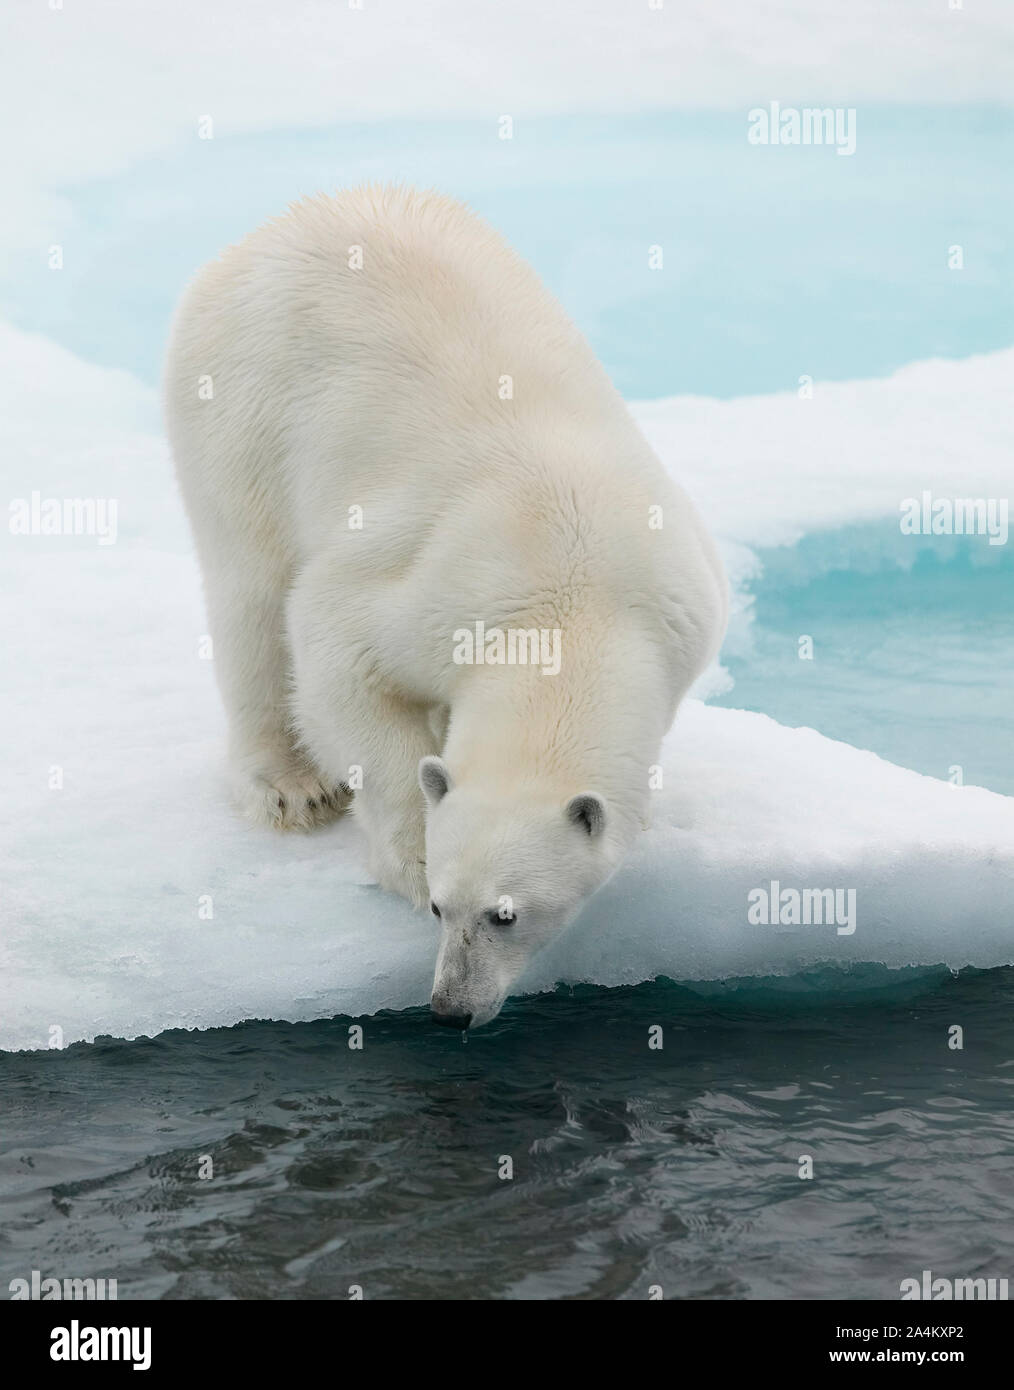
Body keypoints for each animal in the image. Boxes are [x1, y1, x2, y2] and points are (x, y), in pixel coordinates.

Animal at [164, 186, 727, 1029]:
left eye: (508, 914)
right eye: (439, 906)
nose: (451, 1007)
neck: (581, 600)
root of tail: (274, 226)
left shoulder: (684, 600)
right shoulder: (438, 588)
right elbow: (332, 643)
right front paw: (405, 848)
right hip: (240, 400)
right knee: (251, 588)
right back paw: (291, 785)